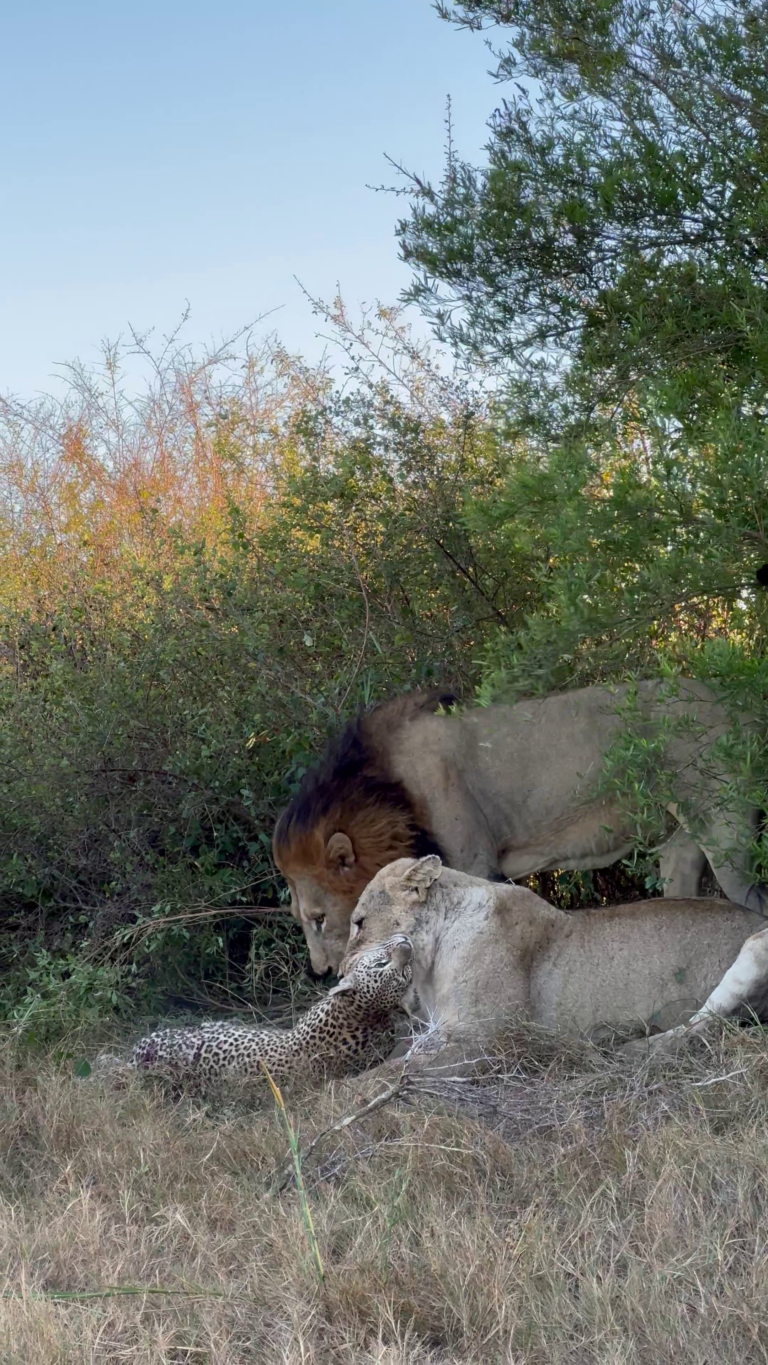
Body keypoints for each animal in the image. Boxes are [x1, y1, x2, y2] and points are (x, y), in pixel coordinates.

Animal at [273, 680, 765, 974]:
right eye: (301, 919)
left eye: (319, 918)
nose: (320, 971)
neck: (390, 794)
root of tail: (742, 706)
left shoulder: (474, 861)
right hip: (682, 845)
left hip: (726, 828)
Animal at [341, 857, 768, 1061]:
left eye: (358, 923)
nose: (341, 972)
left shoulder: (485, 1041)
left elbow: (384, 1078)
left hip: (754, 949)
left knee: (704, 1026)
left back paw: (625, 1048)